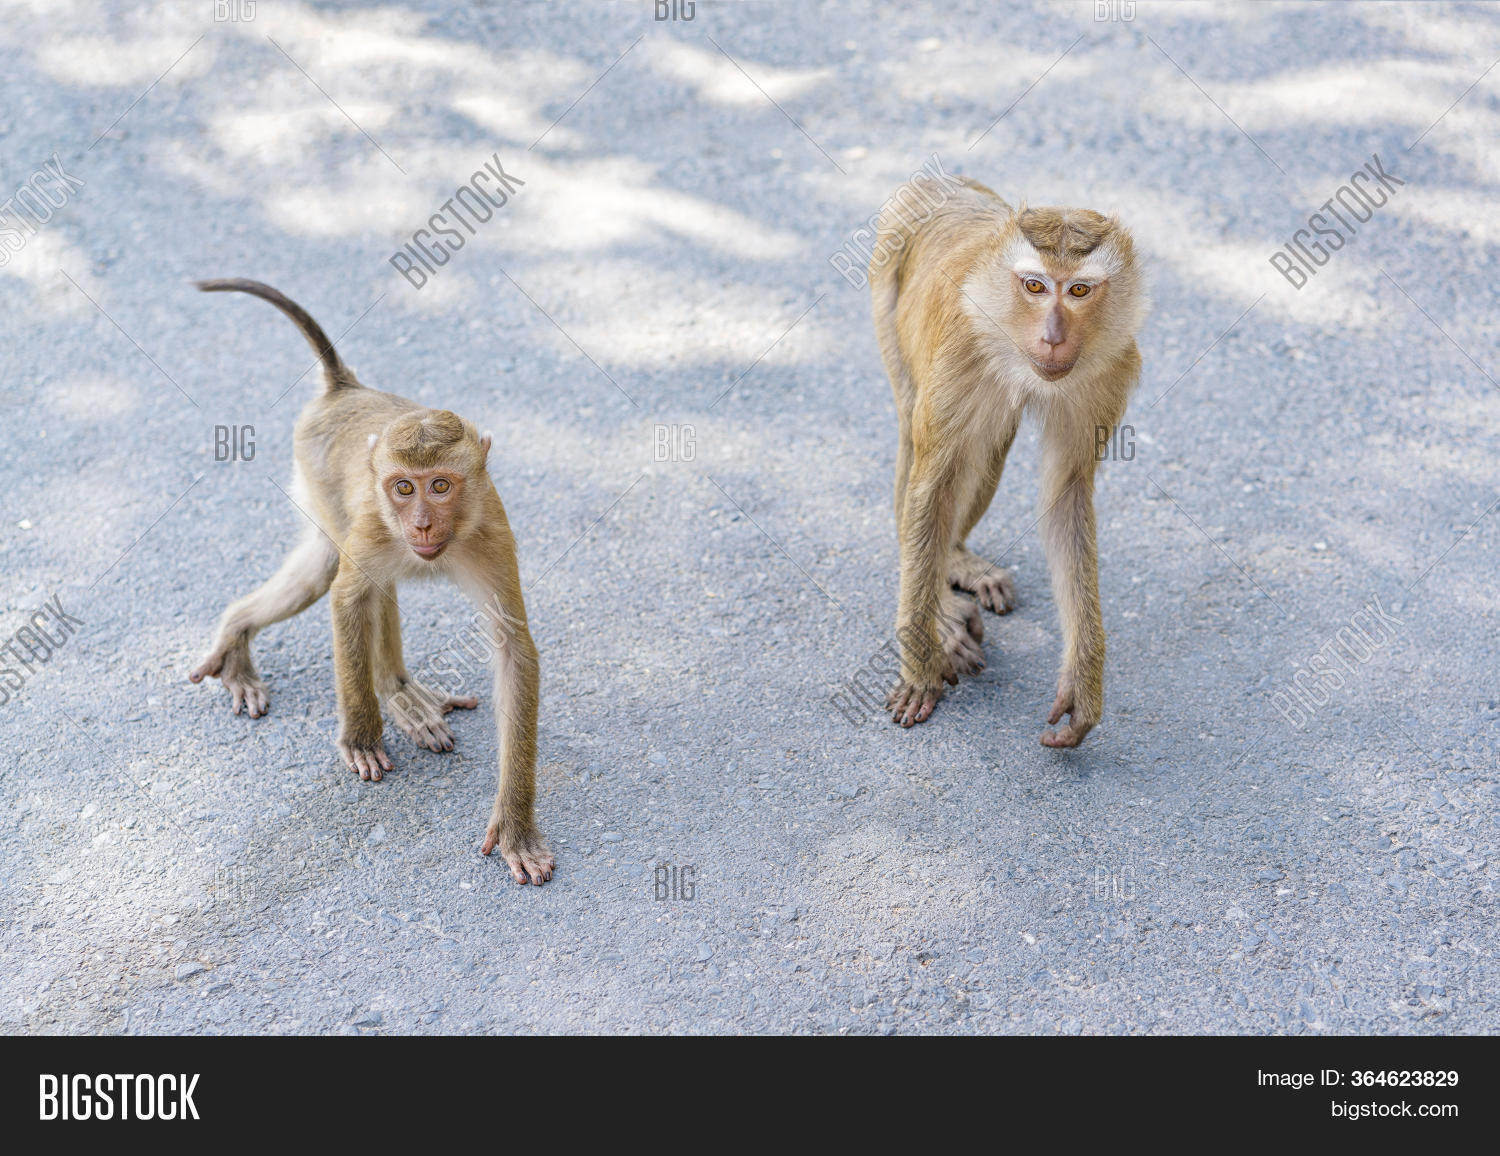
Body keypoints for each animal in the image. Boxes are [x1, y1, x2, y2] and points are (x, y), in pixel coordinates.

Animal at [187, 279, 553, 884]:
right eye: (403, 487)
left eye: (441, 485)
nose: (421, 524)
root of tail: (346, 388)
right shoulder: (378, 528)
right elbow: (349, 596)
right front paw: (361, 735)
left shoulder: (492, 533)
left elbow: (511, 646)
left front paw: (515, 825)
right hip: (319, 478)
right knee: (340, 577)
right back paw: (386, 693)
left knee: (324, 572)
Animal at [870, 176, 1147, 746]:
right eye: (1035, 286)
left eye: (1079, 290)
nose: (1053, 336)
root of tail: (941, 182)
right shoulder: (960, 347)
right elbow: (934, 482)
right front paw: (921, 667)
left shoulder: (1110, 367)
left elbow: (1066, 492)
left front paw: (1084, 682)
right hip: (885, 279)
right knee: (923, 438)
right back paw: (944, 610)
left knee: (991, 442)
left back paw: (957, 560)